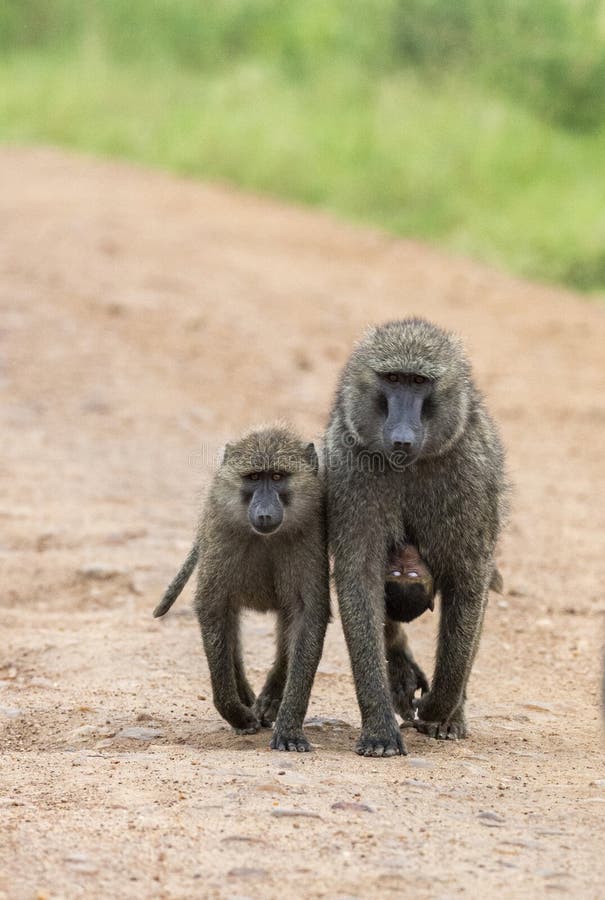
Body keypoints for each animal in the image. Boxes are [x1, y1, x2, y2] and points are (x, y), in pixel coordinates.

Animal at [153, 425, 330, 752]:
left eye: (277, 477)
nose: (264, 513)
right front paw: (236, 713)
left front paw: (289, 727)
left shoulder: (312, 534)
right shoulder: (220, 531)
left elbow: (307, 614)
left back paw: (271, 698)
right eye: (253, 477)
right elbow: (213, 608)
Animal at [325, 318, 508, 756]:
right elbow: (359, 580)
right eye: (393, 379)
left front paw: (441, 707)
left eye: (419, 382)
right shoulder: (348, 465)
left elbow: (468, 580)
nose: (402, 438)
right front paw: (379, 728)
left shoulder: (470, 473)